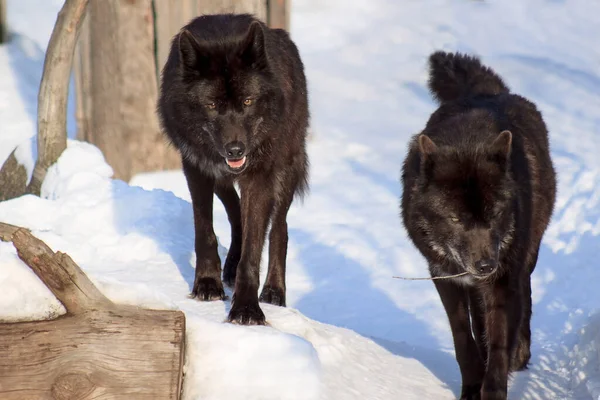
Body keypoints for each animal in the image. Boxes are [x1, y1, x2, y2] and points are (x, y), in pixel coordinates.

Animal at [157, 14, 310, 324]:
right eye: (212, 104)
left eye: (248, 101)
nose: (236, 150)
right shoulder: (197, 168)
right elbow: (204, 232)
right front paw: (207, 283)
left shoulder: (259, 177)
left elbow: (253, 251)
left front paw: (246, 308)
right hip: (221, 178)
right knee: (237, 212)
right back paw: (229, 267)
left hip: (286, 168)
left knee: (279, 228)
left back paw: (274, 290)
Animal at [400, 51, 556, 398]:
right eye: (456, 219)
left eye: (495, 213)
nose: (486, 265)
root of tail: (490, 91)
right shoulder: (444, 276)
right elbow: (463, 340)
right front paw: (472, 386)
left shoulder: (502, 278)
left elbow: (499, 346)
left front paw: (493, 386)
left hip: (526, 255)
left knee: (524, 296)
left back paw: (521, 353)